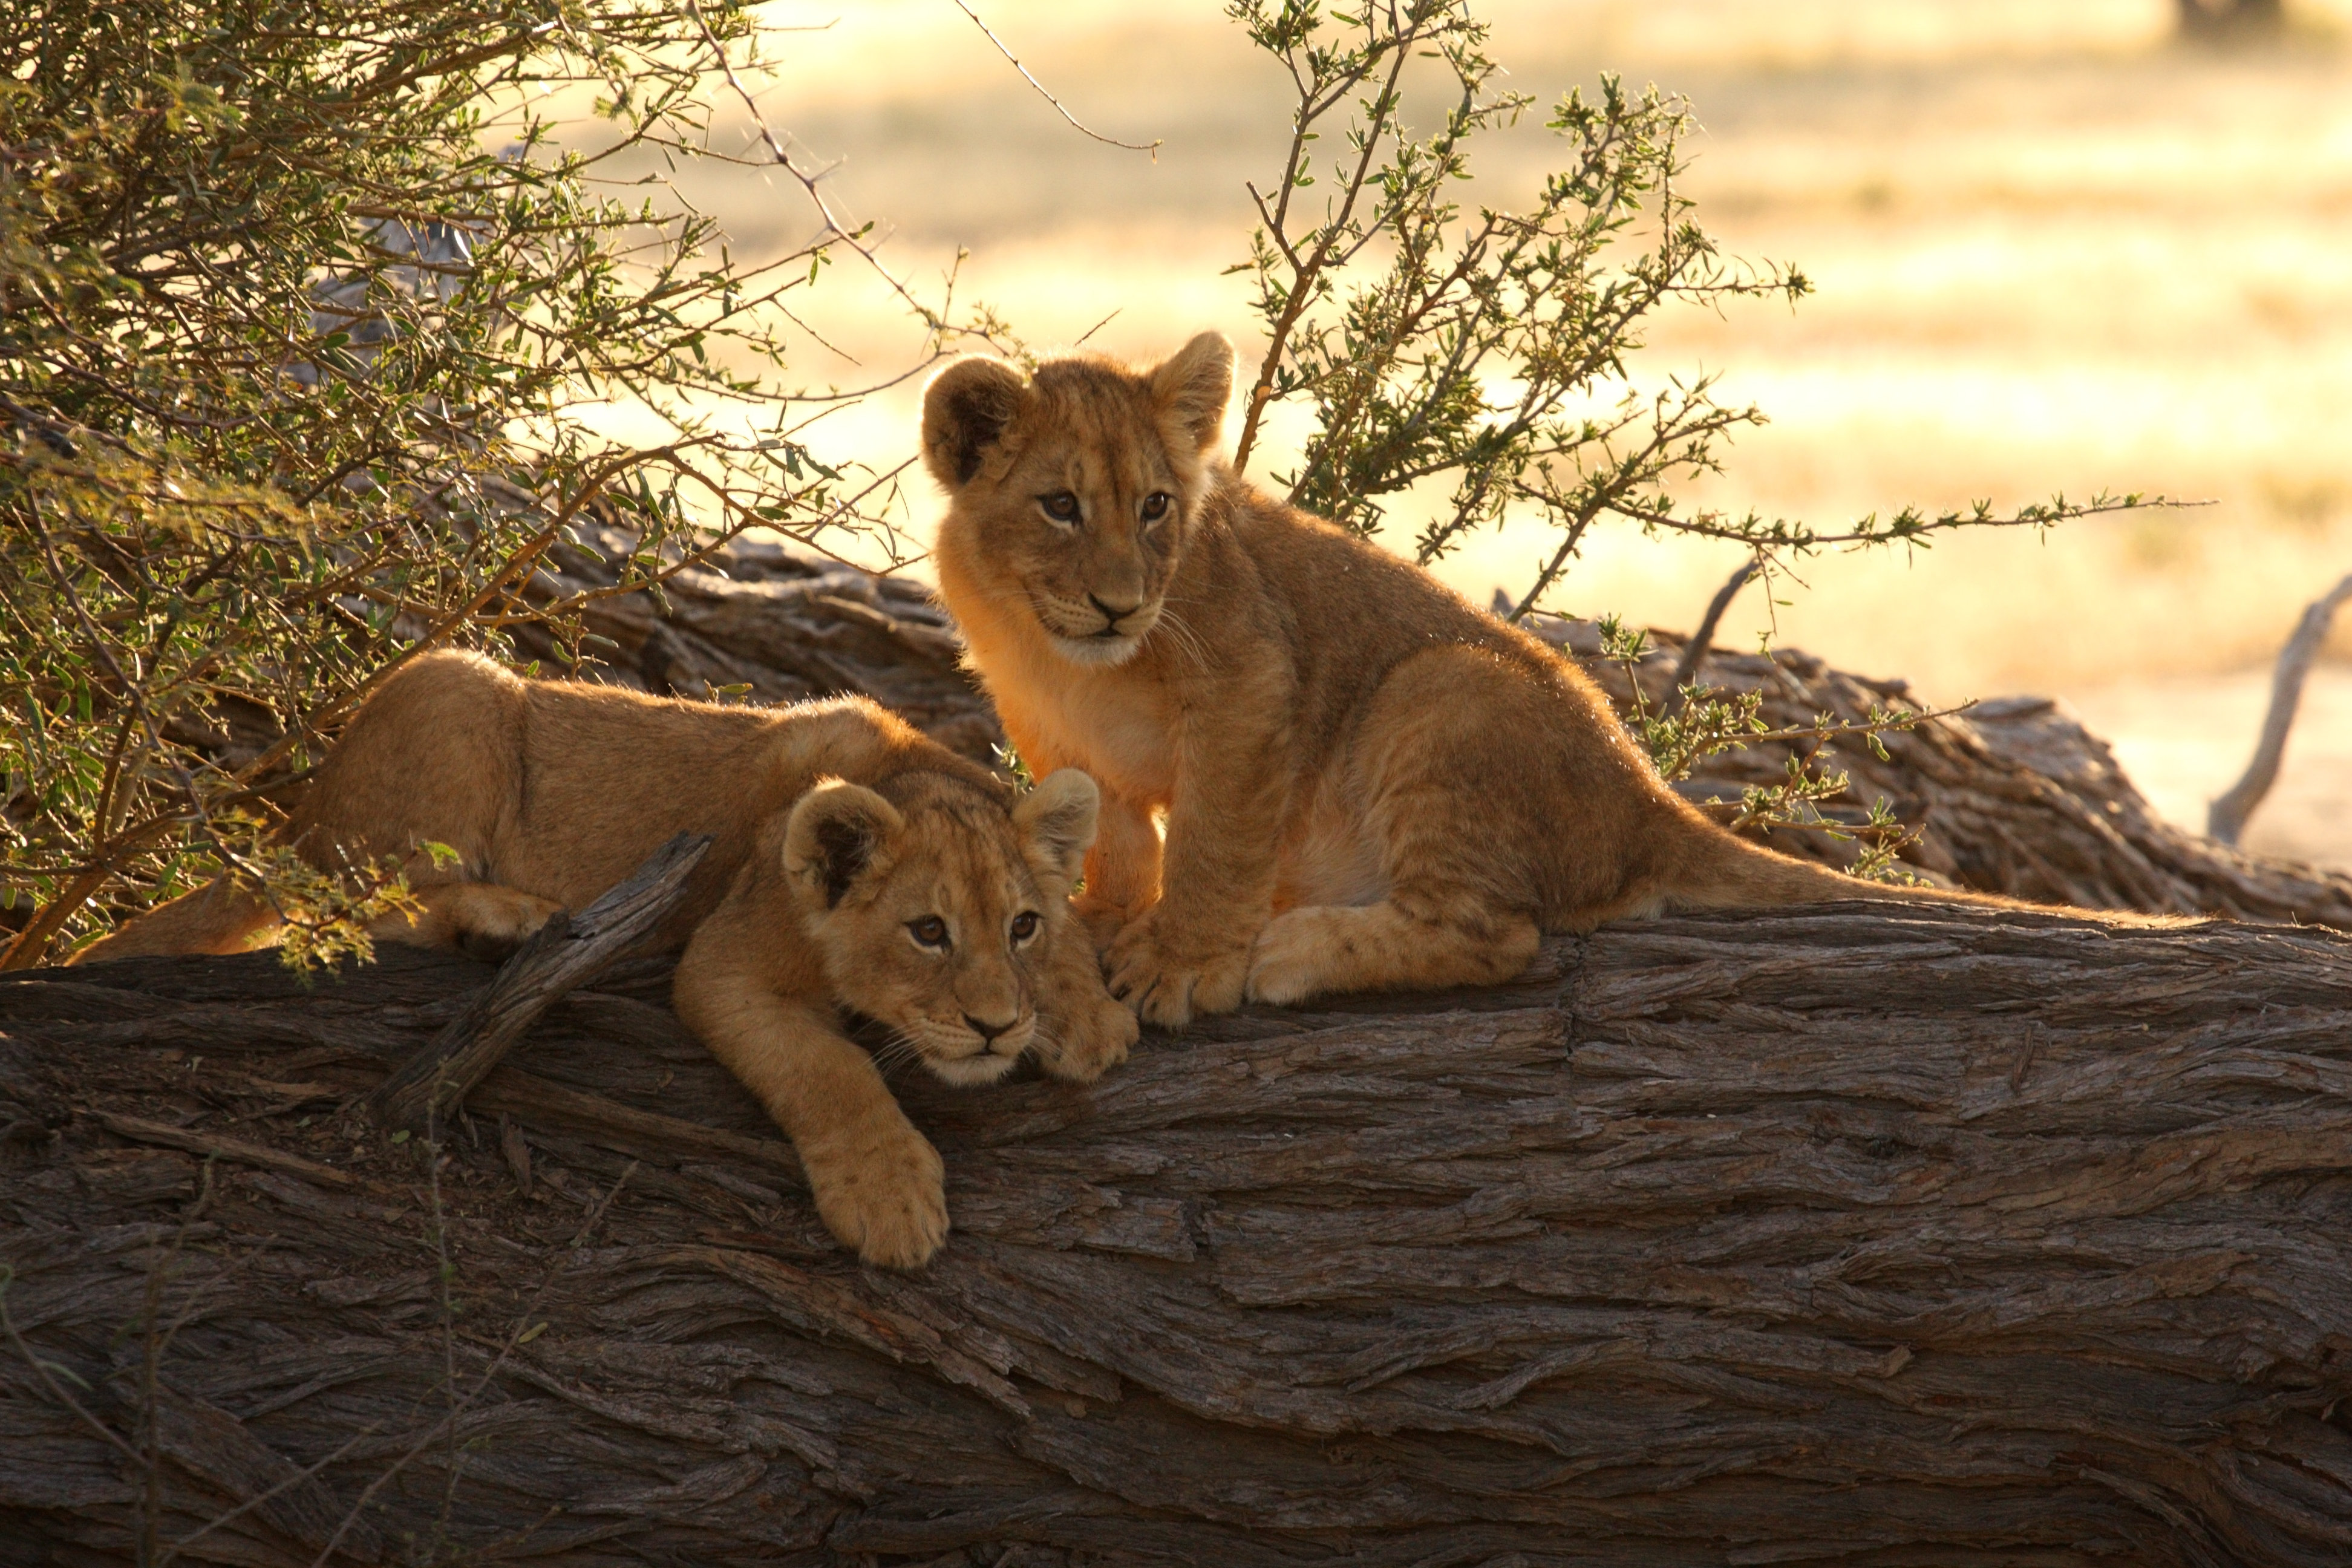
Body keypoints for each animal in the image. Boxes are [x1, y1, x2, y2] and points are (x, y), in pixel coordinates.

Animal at [74, 651, 1136, 1267]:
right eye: (928, 933)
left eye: (1021, 927)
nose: (995, 1027)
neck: (899, 772)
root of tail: (302, 814)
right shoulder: (721, 965)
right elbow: (828, 1069)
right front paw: (890, 1199)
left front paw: (1087, 1016)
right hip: (453, 690)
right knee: (364, 911)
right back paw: (502, 920)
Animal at [920, 331, 2108, 1029]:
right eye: (1060, 506)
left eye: (1157, 507)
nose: (1122, 604)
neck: (1060, 648)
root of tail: (1645, 798)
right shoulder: (1046, 724)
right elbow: (1112, 831)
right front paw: (1094, 916)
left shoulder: (1252, 681)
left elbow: (1213, 837)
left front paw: (1180, 962)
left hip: (1441, 689)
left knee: (1499, 938)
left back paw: (1292, 947)